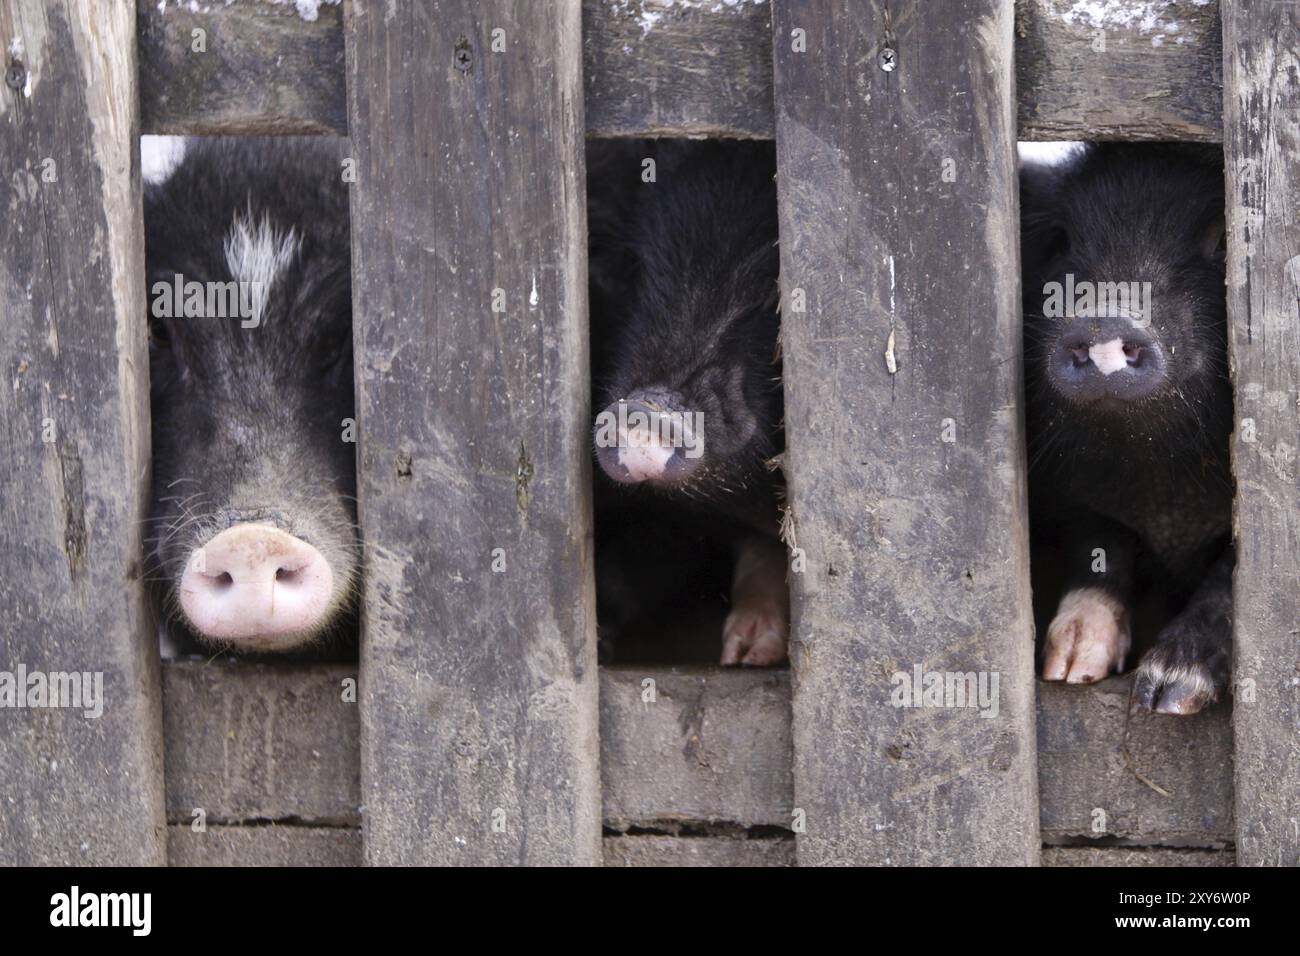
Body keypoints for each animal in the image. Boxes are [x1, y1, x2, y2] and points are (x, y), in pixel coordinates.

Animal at [1020, 143, 1233, 714]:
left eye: (1222, 239)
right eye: (1062, 240)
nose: (1104, 316)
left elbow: (1229, 578)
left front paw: (1169, 695)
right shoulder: (1068, 494)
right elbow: (1100, 544)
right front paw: (1069, 672)